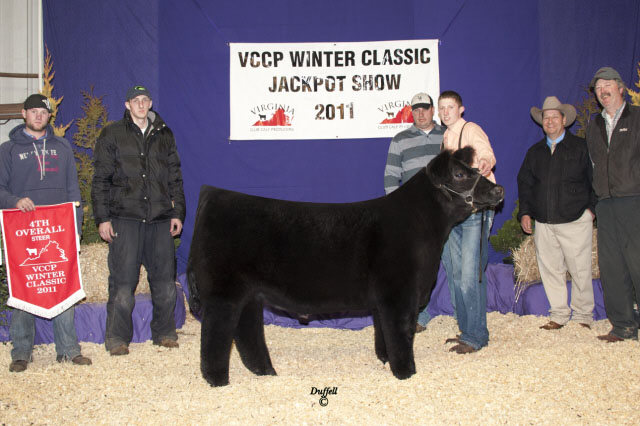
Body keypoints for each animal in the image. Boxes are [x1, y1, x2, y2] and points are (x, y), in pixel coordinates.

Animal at [187, 147, 504, 386]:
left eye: (473, 169)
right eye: (460, 175)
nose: (499, 189)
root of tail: (211, 195)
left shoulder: (385, 300)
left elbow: (383, 333)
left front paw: (385, 359)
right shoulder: (399, 295)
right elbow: (401, 334)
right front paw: (406, 372)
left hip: (249, 294)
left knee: (246, 333)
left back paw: (266, 372)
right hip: (224, 293)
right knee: (215, 336)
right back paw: (218, 380)